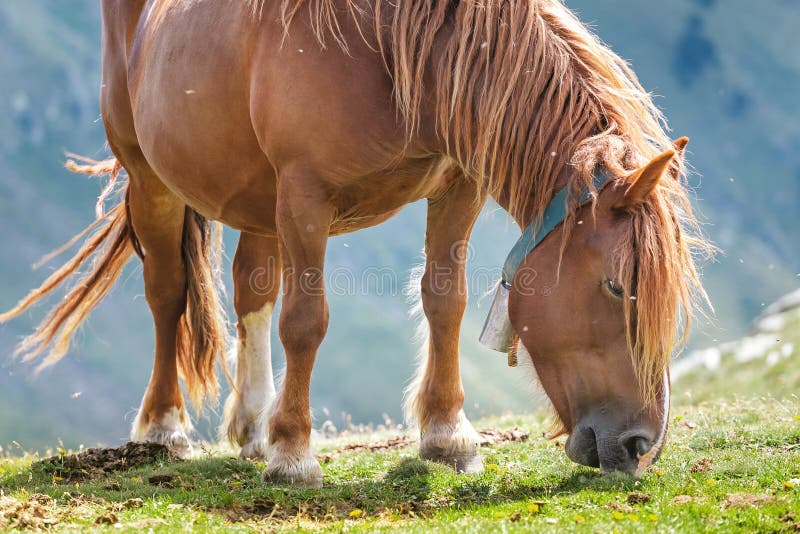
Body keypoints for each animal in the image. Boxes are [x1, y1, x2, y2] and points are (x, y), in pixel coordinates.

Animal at [1, 0, 709, 486]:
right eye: (616, 286)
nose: (641, 444)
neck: (388, 45)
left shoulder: (459, 185)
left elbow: (444, 301)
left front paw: (446, 435)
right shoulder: (303, 197)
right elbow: (305, 321)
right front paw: (292, 455)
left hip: (254, 199)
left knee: (250, 287)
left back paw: (252, 424)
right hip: (152, 175)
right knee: (168, 294)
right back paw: (164, 427)